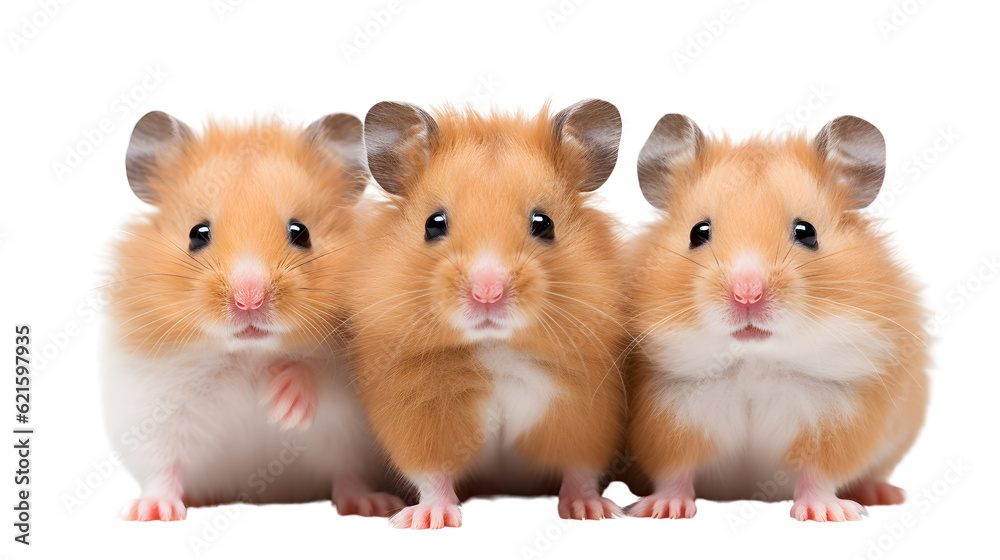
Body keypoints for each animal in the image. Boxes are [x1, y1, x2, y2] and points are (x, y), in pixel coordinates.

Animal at [101, 111, 405, 521]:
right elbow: (163, 468)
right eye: (197, 233)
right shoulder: (152, 404)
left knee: (349, 476)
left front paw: (282, 405)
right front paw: (149, 512)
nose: (249, 301)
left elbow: (320, 372)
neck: (248, 354)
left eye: (301, 232)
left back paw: (372, 505)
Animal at [348, 100, 629, 529]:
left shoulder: (588, 412)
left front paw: (591, 511)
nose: (487, 292)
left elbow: (580, 469)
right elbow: (431, 474)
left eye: (544, 223)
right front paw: (428, 519)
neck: (496, 347)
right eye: (434, 224)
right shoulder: (415, 415)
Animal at [624, 114, 929, 522]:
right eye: (698, 232)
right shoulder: (669, 415)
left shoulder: (840, 418)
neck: (755, 363)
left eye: (806, 232)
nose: (747, 295)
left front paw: (827, 514)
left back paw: (882, 494)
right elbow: (674, 469)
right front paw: (663, 510)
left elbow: (819, 472)